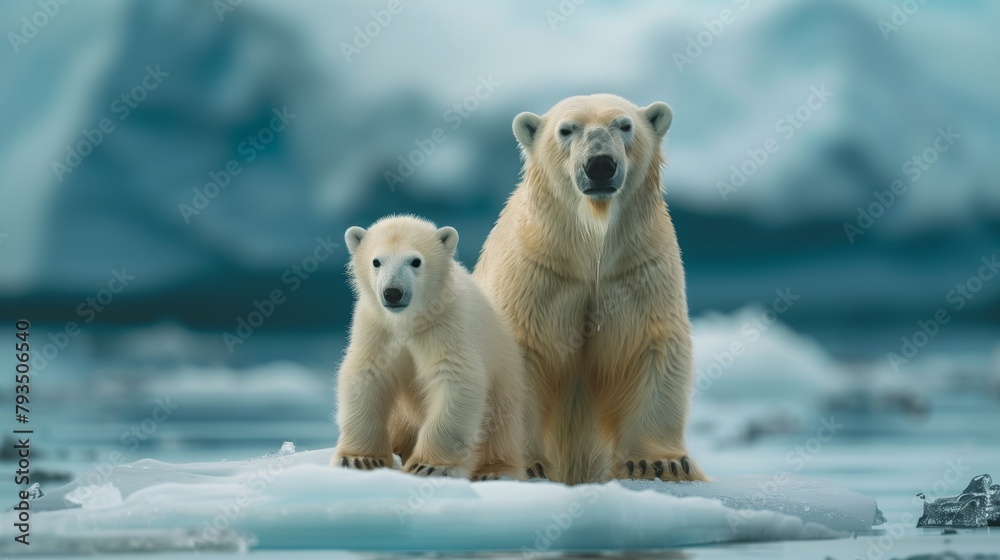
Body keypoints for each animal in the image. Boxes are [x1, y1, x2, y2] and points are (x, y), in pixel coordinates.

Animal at [331, 215, 528, 481]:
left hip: (505, 383)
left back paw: (496, 470)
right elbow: (367, 374)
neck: (410, 320)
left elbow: (455, 378)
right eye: (376, 261)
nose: (393, 293)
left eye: (415, 261)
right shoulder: (377, 327)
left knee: (500, 428)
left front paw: (431, 466)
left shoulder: (447, 324)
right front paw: (359, 459)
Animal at [473, 94, 706, 484]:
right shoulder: (536, 271)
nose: (600, 165)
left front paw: (660, 463)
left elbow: (651, 344)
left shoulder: (637, 268)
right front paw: (523, 464)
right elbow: (519, 352)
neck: (590, 244)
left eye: (624, 125)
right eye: (566, 130)